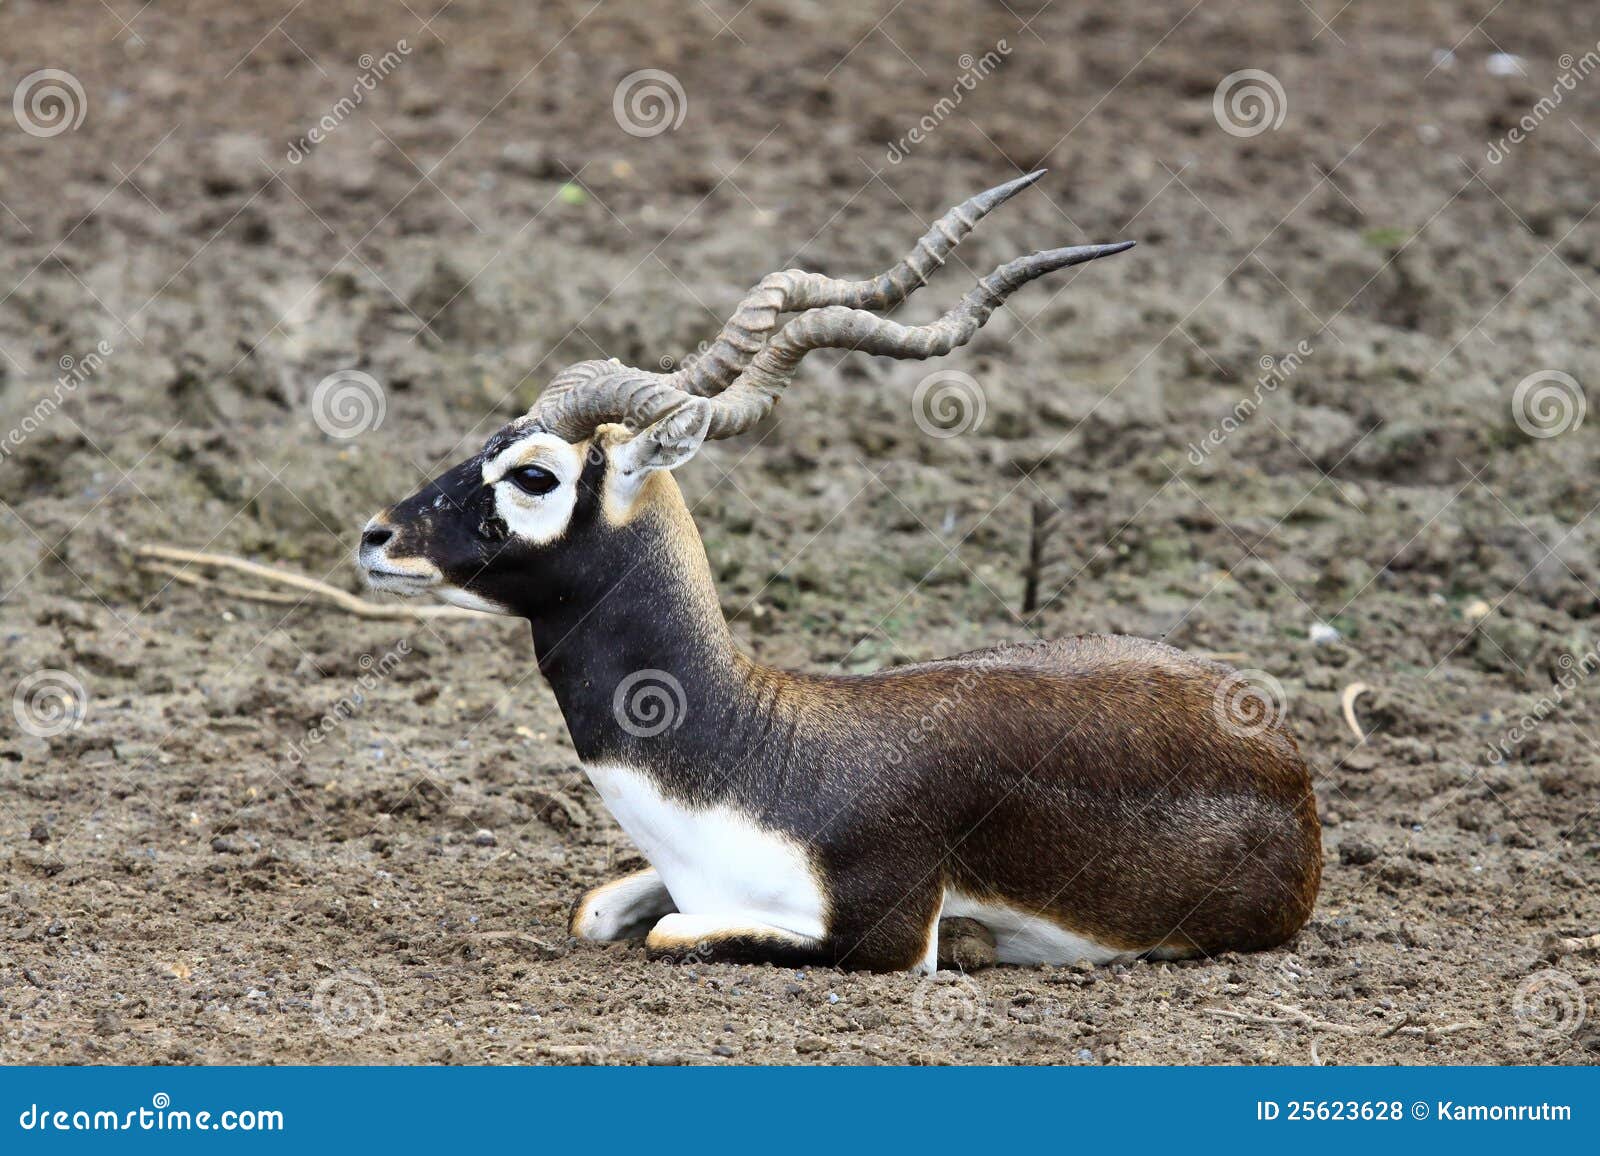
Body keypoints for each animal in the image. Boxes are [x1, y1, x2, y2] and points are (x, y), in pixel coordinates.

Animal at [357, 172, 1322, 973]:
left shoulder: (883, 936)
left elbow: (673, 934)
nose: (376, 536)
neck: (751, 753)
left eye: (534, 475)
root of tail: (1284, 752)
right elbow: (597, 910)